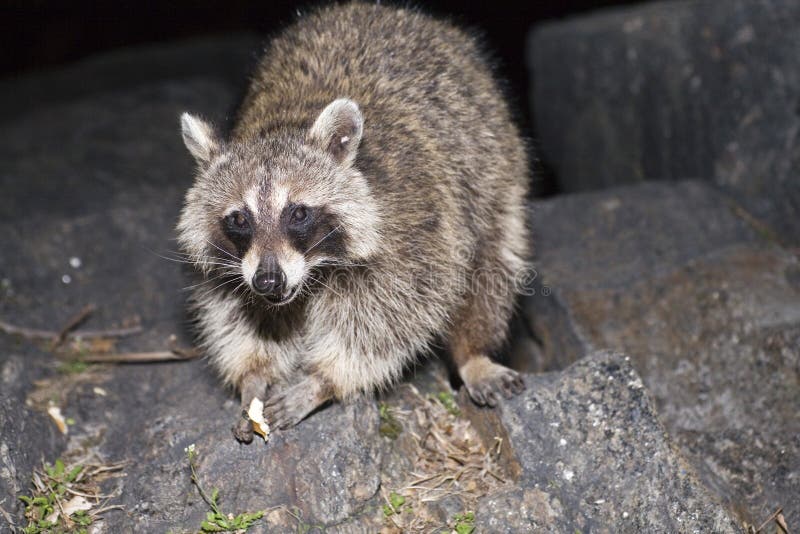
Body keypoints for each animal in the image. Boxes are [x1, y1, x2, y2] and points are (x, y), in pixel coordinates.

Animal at [177, 2, 530, 443]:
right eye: (239, 218)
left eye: (298, 213)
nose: (269, 281)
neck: (282, 123)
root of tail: (387, 11)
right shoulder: (235, 271)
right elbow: (238, 317)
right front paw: (253, 378)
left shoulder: (413, 231)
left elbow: (388, 323)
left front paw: (323, 381)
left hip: (495, 173)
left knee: (490, 262)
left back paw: (473, 352)